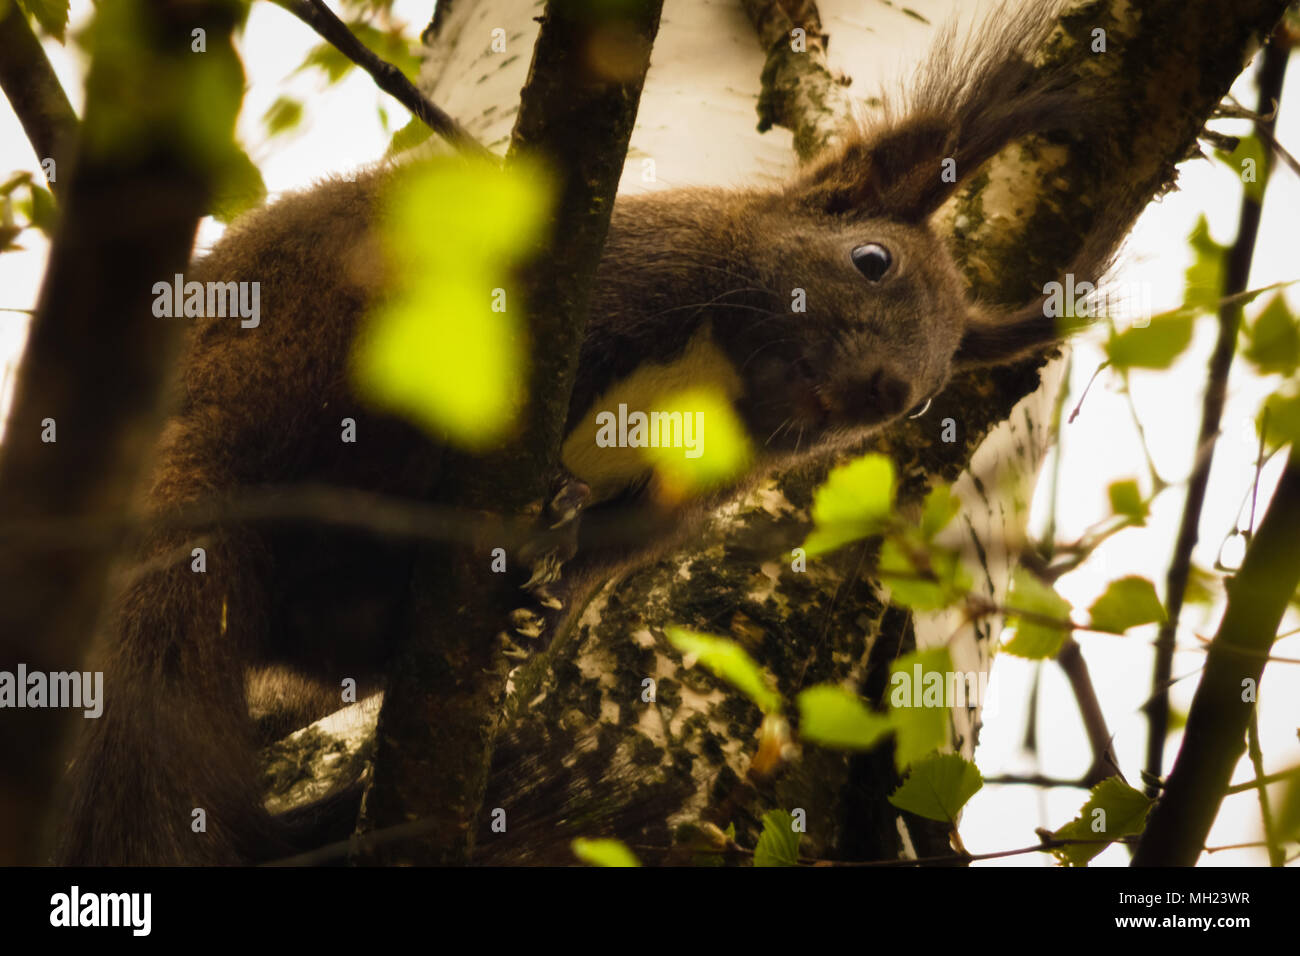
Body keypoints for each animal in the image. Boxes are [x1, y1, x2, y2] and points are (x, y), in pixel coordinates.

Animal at [56, 0, 1128, 865]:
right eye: (871, 260)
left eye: (929, 394)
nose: (888, 387)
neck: (721, 374)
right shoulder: (611, 271)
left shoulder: (667, 505)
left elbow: (591, 562)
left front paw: (537, 599)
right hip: (315, 337)